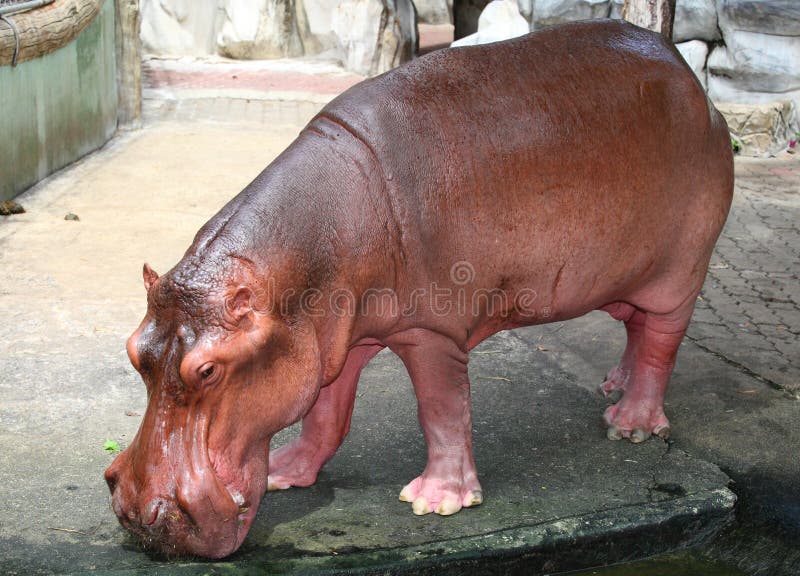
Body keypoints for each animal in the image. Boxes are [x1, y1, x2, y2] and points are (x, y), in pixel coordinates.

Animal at [105, 19, 733, 558]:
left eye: (208, 370)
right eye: (134, 352)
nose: (138, 518)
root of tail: (687, 75)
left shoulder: (429, 331)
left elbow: (442, 410)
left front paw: (436, 502)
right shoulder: (333, 338)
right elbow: (324, 412)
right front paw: (287, 471)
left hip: (680, 270)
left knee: (661, 341)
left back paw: (630, 426)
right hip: (623, 277)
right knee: (634, 326)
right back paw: (612, 386)